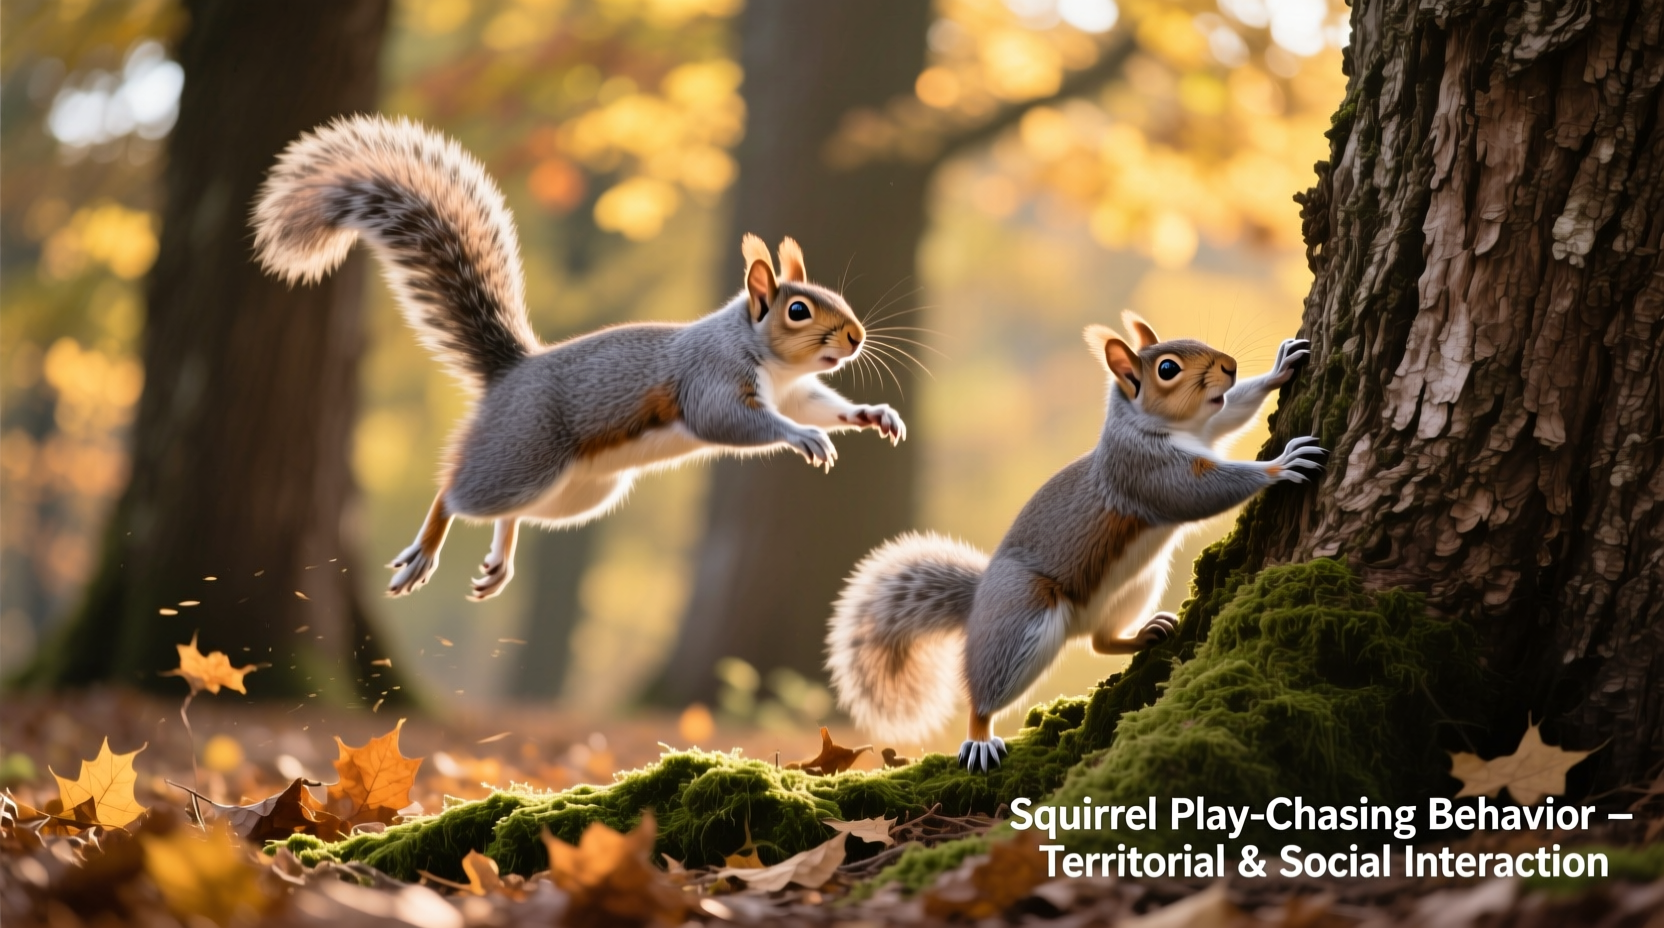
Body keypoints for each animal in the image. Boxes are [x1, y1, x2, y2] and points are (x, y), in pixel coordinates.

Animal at [251, 115, 905, 601]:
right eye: (797, 310)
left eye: (834, 297)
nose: (855, 337)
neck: (769, 360)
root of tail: (511, 373)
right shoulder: (712, 377)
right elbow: (732, 420)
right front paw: (802, 438)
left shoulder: (798, 389)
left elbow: (824, 405)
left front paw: (873, 415)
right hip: (523, 455)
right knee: (456, 494)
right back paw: (425, 549)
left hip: (577, 495)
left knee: (510, 512)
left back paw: (500, 560)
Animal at [825, 311, 1321, 771]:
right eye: (1167, 369)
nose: (1231, 366)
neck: (1167, 428)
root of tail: (980, 599)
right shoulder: (1143, 470)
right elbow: (1201, 489)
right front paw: (1280, 465)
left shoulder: (1207, 429)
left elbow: (1233, 410)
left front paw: (1278, 369)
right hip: (1023, 617)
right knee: (987, 689)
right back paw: (980, 736)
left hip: (1134, 587)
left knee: (1100, 642)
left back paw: (1143, 634)